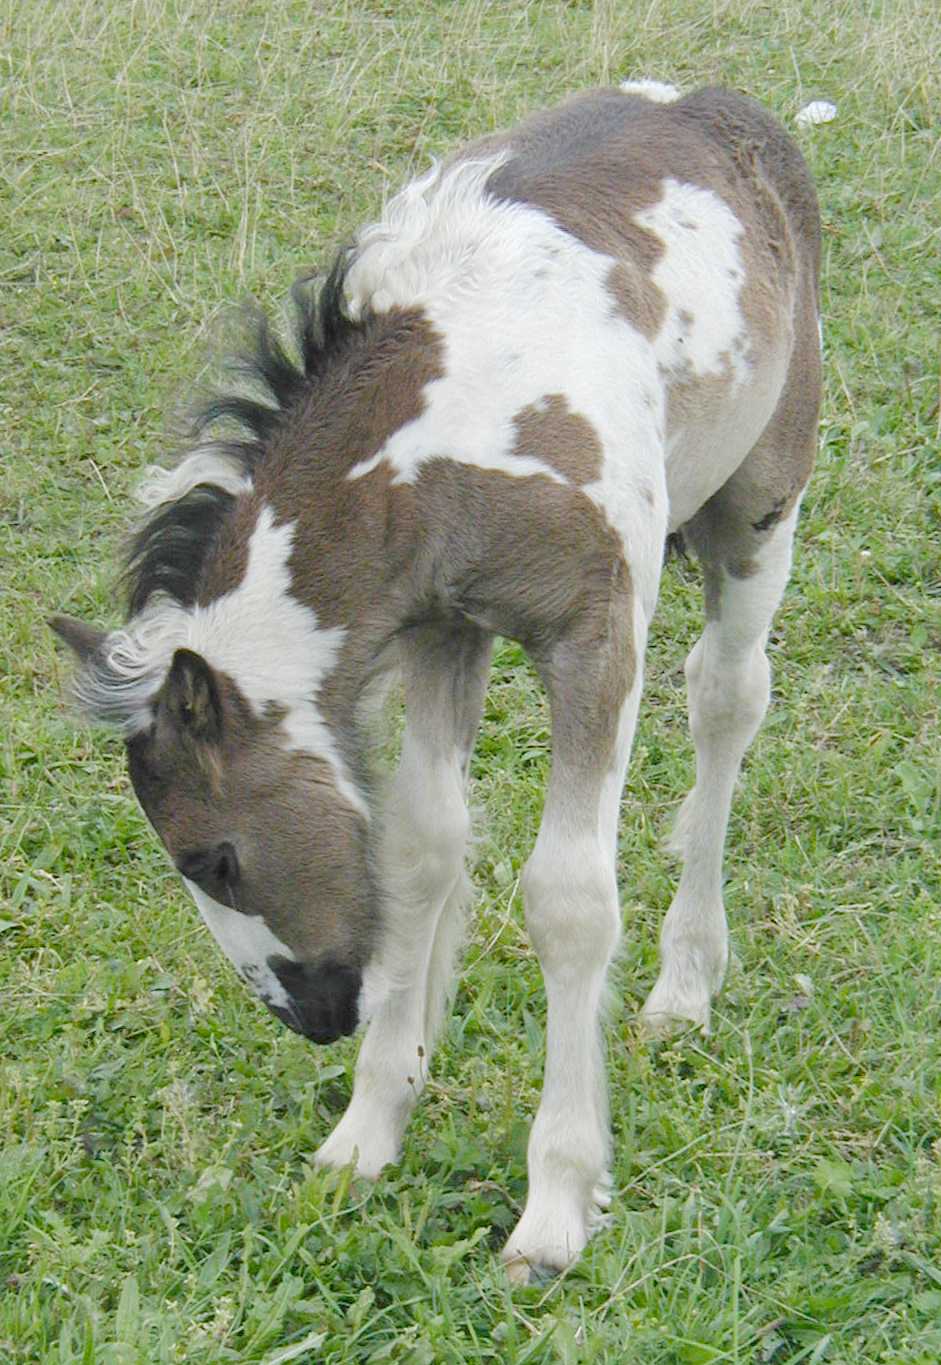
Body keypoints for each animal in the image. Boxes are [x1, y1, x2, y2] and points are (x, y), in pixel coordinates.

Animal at [51, 79, 821, 1282]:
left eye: (212, 858)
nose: (312, 1013)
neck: (449, 420)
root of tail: (719, 103)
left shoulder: (594, 634)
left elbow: (568, 899)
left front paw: (554, 1206)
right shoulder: (440, 629)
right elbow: (417, 852)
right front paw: (366, 1131)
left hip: (759, 503)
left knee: (726, 699)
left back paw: (685, 982)